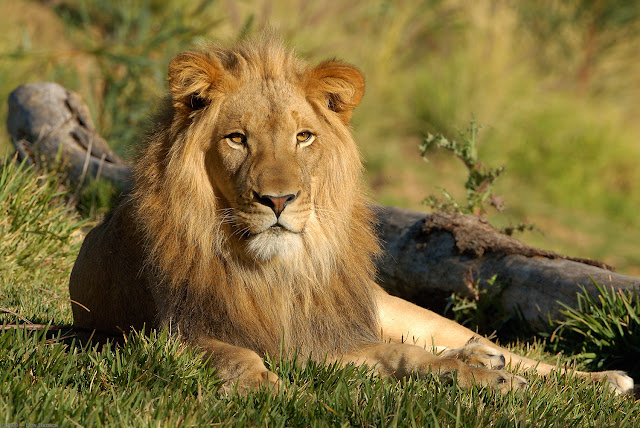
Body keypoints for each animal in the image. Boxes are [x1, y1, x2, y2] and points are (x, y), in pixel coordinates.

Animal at [69, 36, 634, 395]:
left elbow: (404, 357)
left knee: (495, 347)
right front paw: (267, 388)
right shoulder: (170, 330)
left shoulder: (322, 336)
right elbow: (233, 355)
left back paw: (601, 379)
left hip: (394, 310)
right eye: (237, 138)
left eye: (303, 137)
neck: (272, 268)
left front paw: (490, 379)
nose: (279, 200)